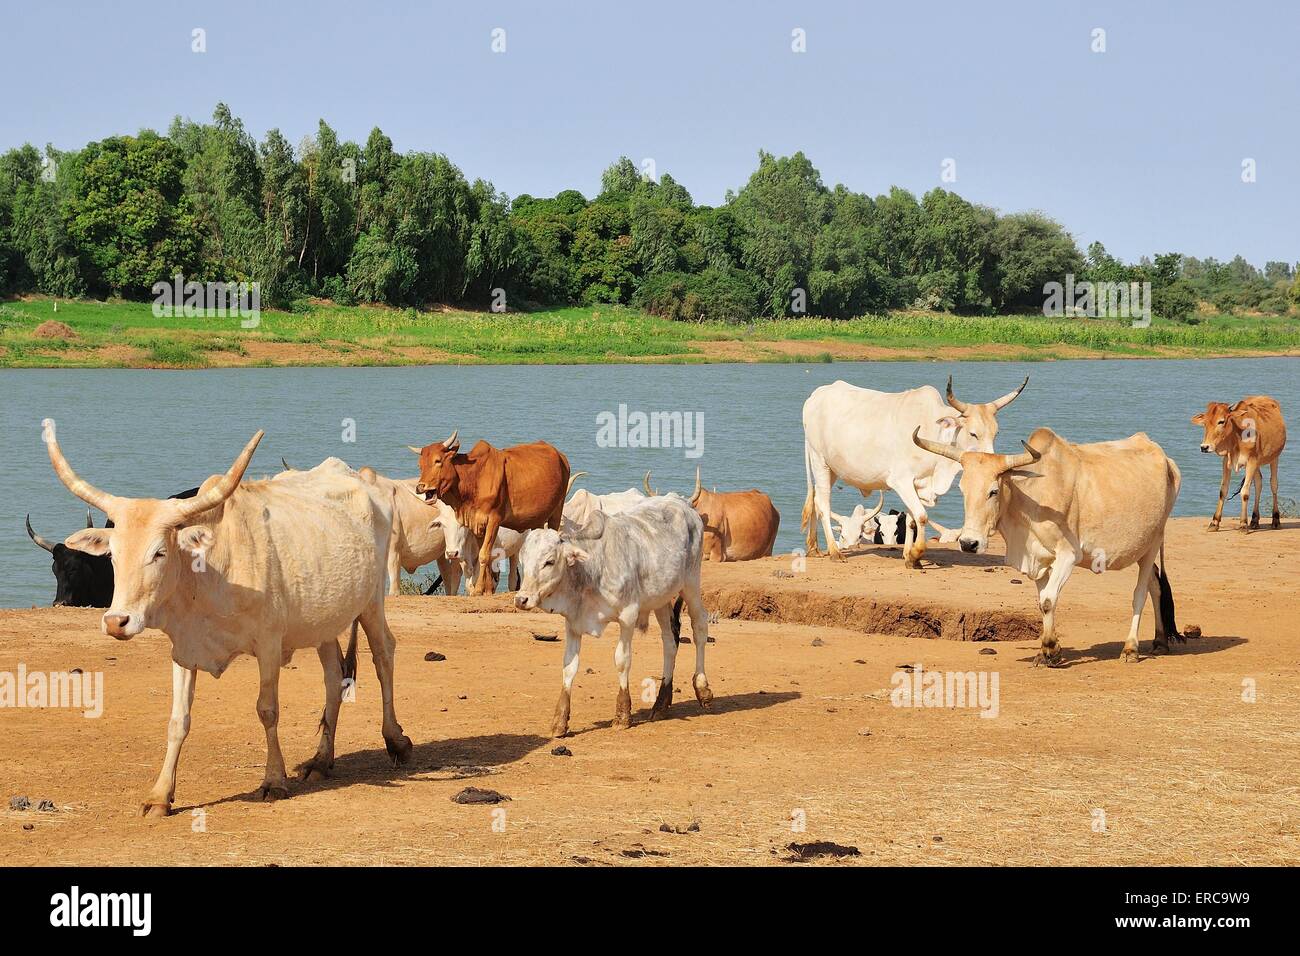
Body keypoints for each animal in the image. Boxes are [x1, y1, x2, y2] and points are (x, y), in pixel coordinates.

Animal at [411, 431, 570, 596]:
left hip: (556, 512)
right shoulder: (476, 523)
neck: (473, 478)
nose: (420, 487)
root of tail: (561, 456)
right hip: (537, 519)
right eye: (420, 465)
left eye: (438, 461)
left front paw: (479, 589)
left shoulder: (494, 520)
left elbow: (484, 555)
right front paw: (486, 589)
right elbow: (485, 555)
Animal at [513, 495, 713, 738]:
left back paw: (702, 689)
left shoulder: (628, 616)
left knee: (699, 626)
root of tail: (680, 501)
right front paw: (560, 721)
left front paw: (622, 714)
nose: (521, 599)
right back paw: (661, 704)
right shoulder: (573, 623)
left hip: (691, 583)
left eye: (549, 561)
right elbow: (569, 666)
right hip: (662, 599)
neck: (591, 569)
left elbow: (622, 660)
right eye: (523, 562)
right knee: (670, 642)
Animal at [802, 375, 1027, 568]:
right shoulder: (901, 481)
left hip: (832, 470)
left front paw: (909, 556)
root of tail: (815, 397)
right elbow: (921, 516)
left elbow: (911, 520)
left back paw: (814, 548)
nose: (991, 464)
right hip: (819, 462)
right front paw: (916, 554)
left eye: (995, 432)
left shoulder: (918, 484)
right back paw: (834, 551)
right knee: (823, 503)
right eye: (973, 433)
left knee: (815, 499)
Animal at [913, 425, 1182, 665]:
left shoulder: (1068, 555)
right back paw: (1160, 642)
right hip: (1141, 547)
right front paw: (1047, 650)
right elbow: (1042, 602)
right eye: (962, 490)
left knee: (1140, 594)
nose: (969, 543)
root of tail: (1166, 459)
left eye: (993, 491)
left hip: (1154, 542)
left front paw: (1051, 650)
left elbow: (1049, 600)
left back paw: (1131, 648)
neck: (1031, 500)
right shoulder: (1038, 559)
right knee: (1156, 584)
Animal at [1191, 397, 1287, 532]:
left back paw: (1275, 520)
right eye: (1205, 423)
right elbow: (1223, 490)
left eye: (1221, 421)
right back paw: (1254, 520)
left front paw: (1243, 524)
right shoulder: (1226, 461)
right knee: (1259, 483)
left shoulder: (1251, 461)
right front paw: (1214, 523)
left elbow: (1244, 492)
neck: (1237, 435)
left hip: (1274, 457)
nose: (1204, 447)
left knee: (1273, 484)